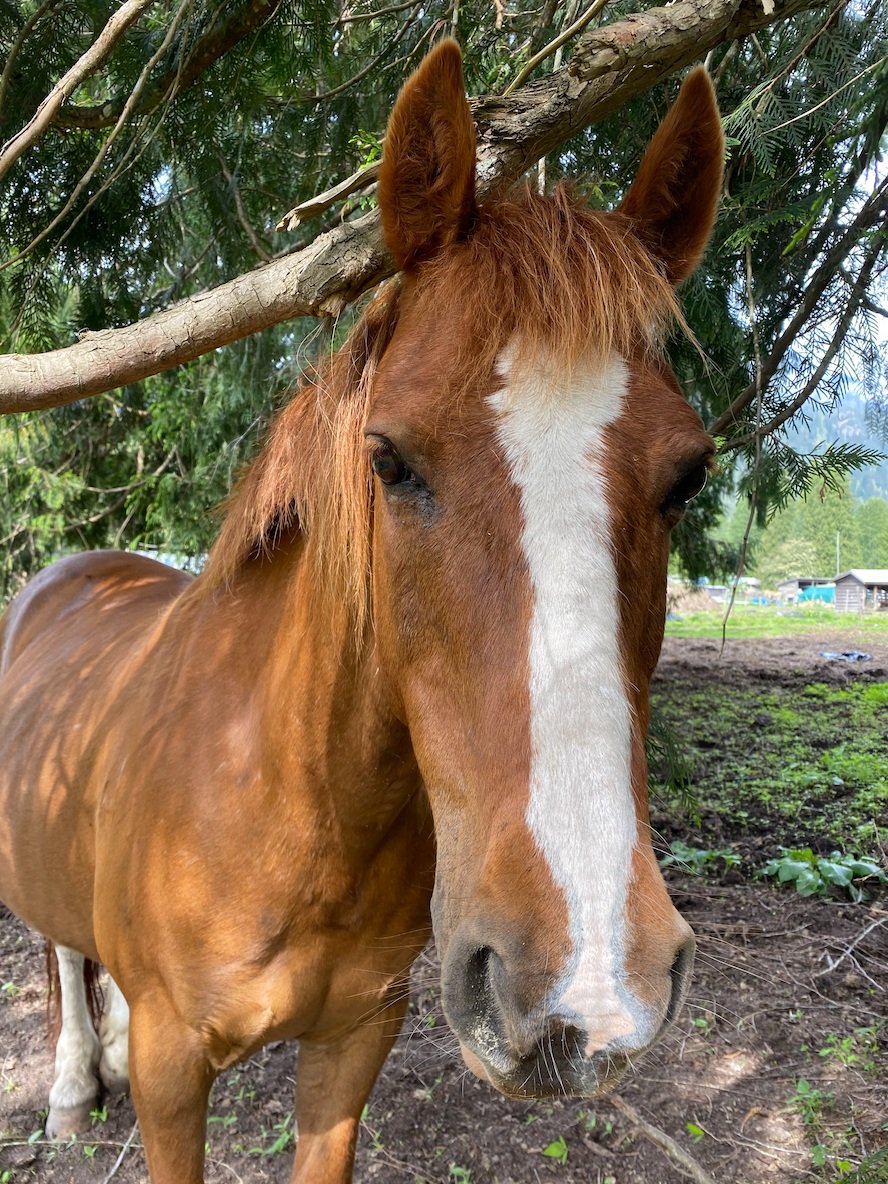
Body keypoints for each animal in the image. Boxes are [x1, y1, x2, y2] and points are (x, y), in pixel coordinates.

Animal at [0, 40, 723, 1184]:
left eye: (690, 474)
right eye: (388, 458)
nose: (586, 985)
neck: (284, 790)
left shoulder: (353, 1042)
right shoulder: (174, 1071)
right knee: (57, 946)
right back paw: (75, 1079)